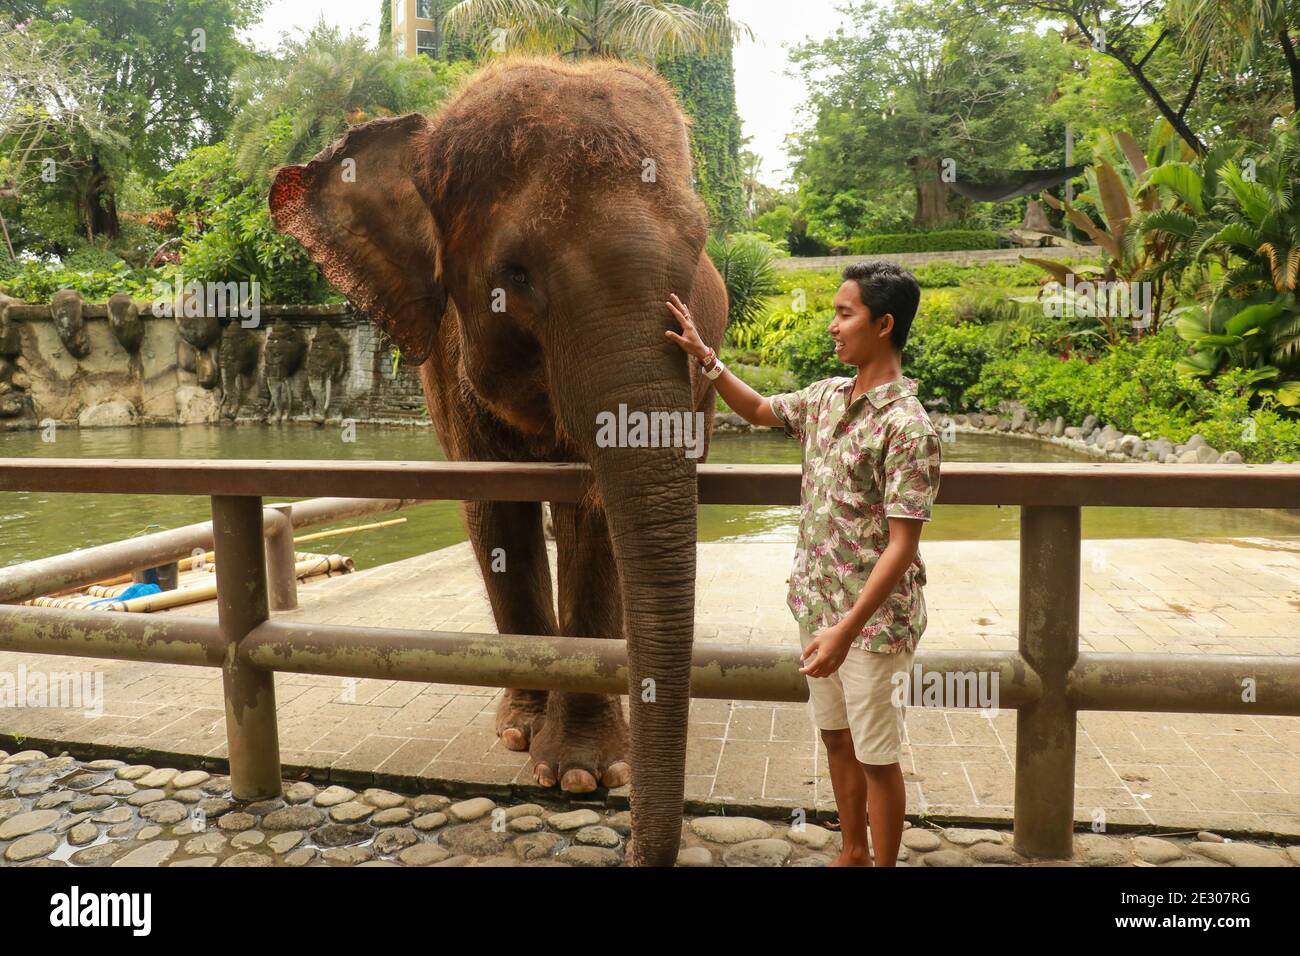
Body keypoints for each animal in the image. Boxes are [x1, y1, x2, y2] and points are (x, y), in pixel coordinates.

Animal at [270, 56, 727, 866]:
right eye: (515, 274)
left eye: (694, 253)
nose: (636, 846)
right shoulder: (445, 363)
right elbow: (495, 513)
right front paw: (523, 737)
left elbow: (595, 515)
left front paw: (582, 774)